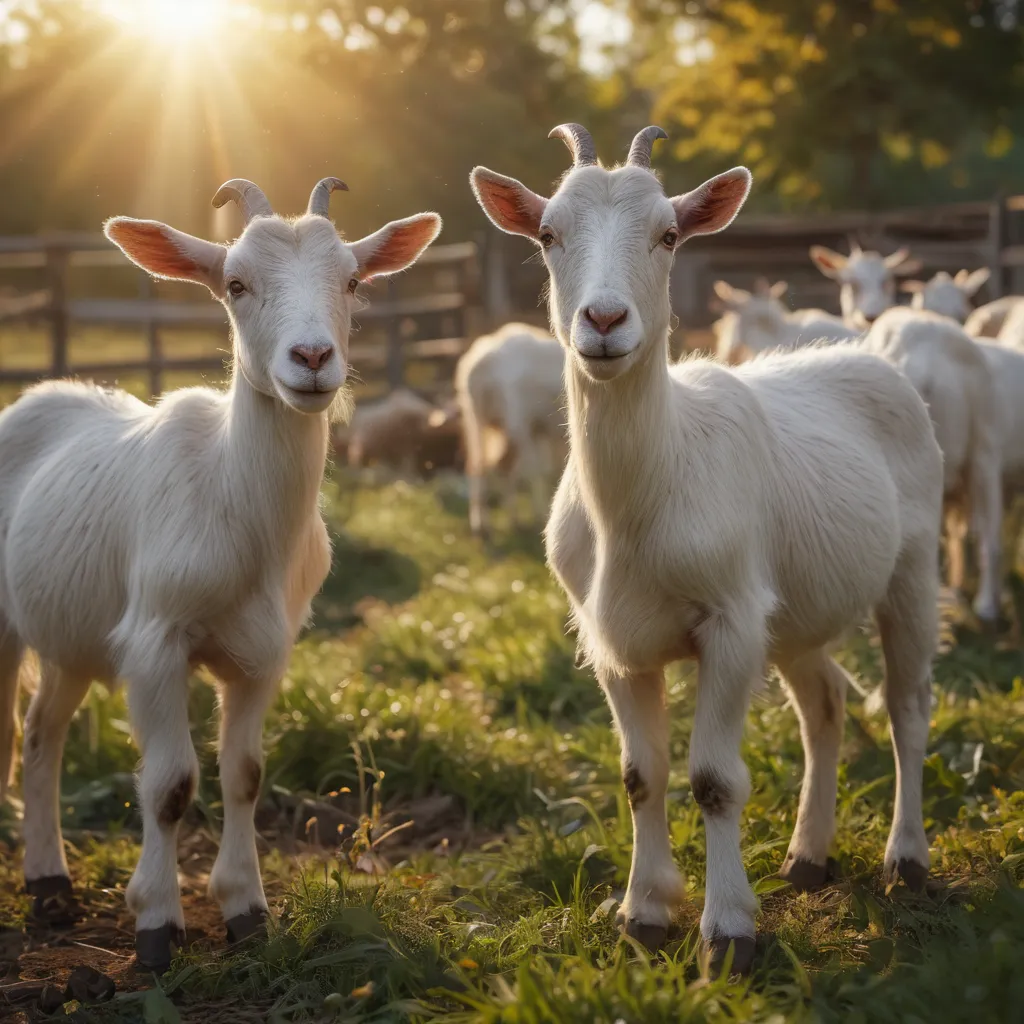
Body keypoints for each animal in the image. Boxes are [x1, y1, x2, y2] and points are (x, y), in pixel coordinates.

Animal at [0, 178, 440, 972]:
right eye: (235, 284)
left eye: (353, 282)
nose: (312, 357)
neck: (234, 497)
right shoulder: (154, 641)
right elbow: (170, 785)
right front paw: (156, 926)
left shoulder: (265, 652)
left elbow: (245, 774)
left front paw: (246, 911)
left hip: (71, 636)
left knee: (43, 732)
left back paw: (50, 885)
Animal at [455, 322, 566, 535]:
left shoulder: (538, 430)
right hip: (514, 423)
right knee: (508, 466)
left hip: (477, 420)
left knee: (478, 466)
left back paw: (484, 525)